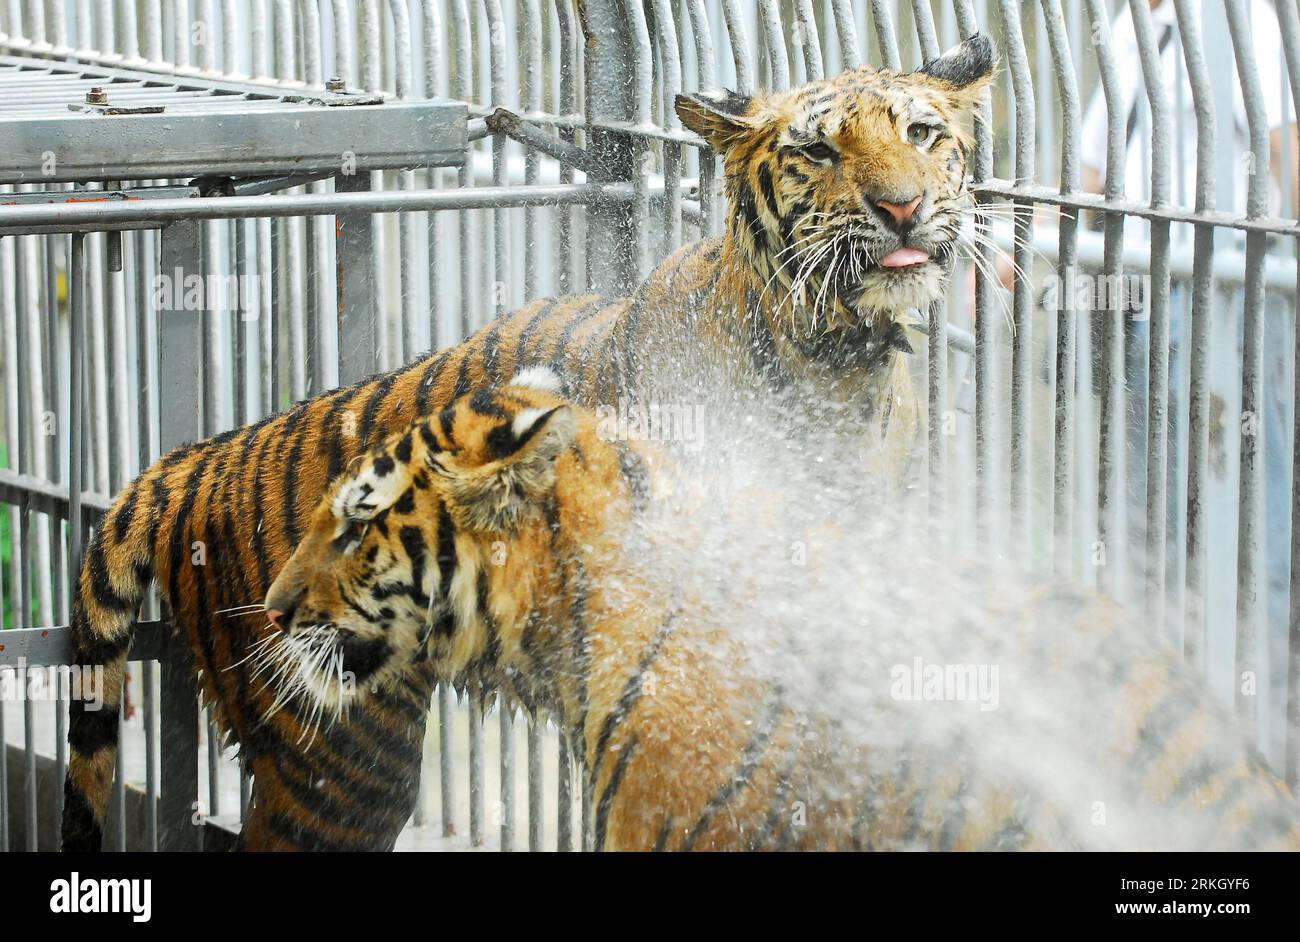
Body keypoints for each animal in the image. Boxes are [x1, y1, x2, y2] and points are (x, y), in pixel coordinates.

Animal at [63, 35, 998, 851]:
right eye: (817, 150)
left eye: (922, 134)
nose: (903, 207)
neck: (839, 363)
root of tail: (198, 458)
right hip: (340, 753)